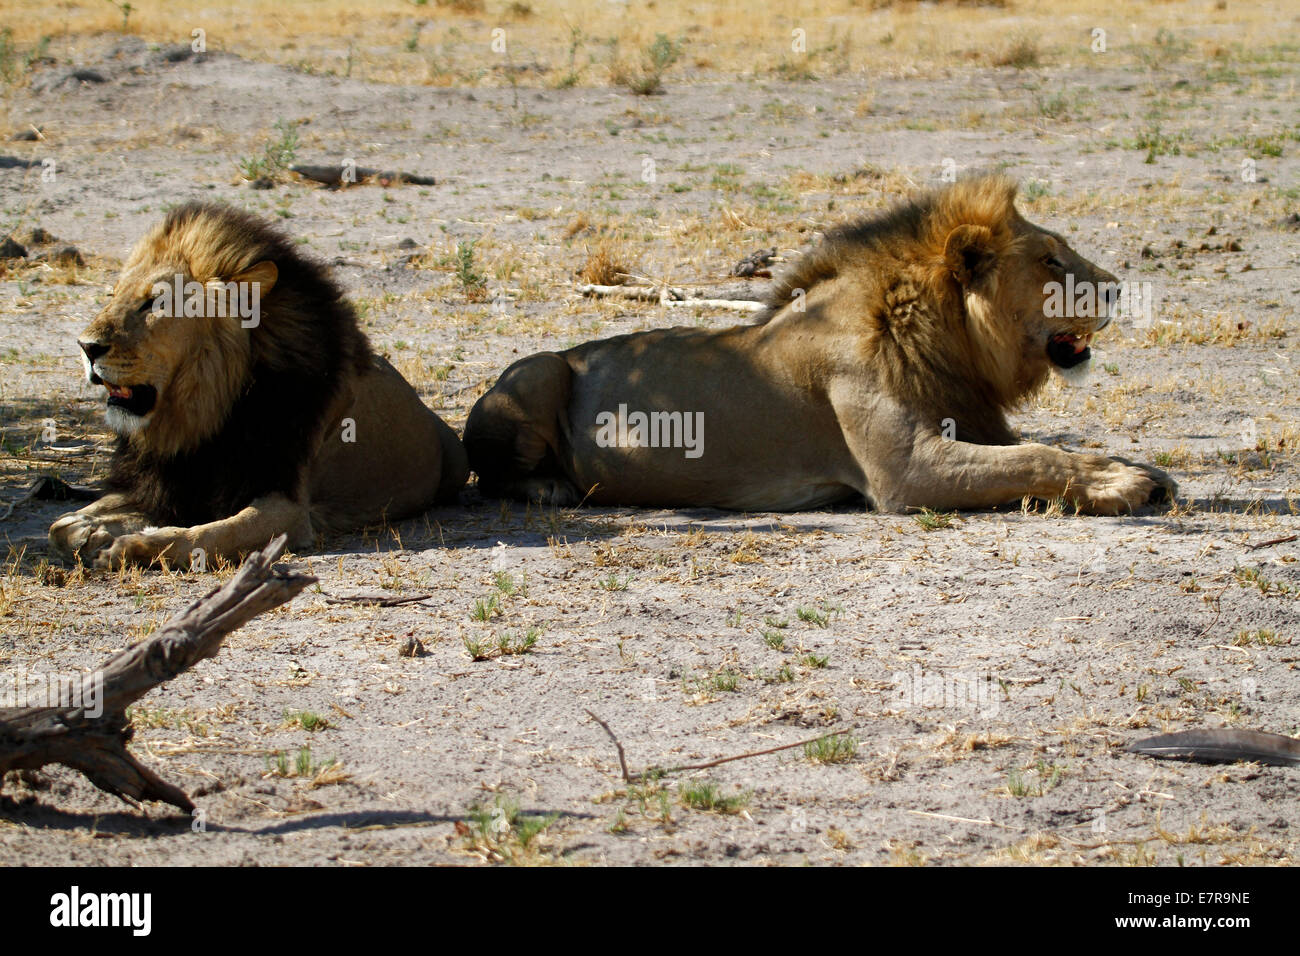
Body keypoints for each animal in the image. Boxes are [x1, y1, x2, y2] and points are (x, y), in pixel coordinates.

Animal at [49, 203, 468, 568]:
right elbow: (60, 526)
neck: (204, 414)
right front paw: (90, 529)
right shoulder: (162, 485)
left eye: (154, 303)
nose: (86, 346)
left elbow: (206, 536)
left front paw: (132, 546)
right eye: (112, 296)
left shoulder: (287, 507)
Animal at [464, 175, 1174, 515]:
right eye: (1052, 260)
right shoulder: (904, 473)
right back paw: (553, 488)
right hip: (539, 371)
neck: (945, 337)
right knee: (492, 474)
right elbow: (1034, 458)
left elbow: (1038, 447)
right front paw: (1121, 483)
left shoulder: (969, 421)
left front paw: (1141, 469)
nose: (1117, 290)